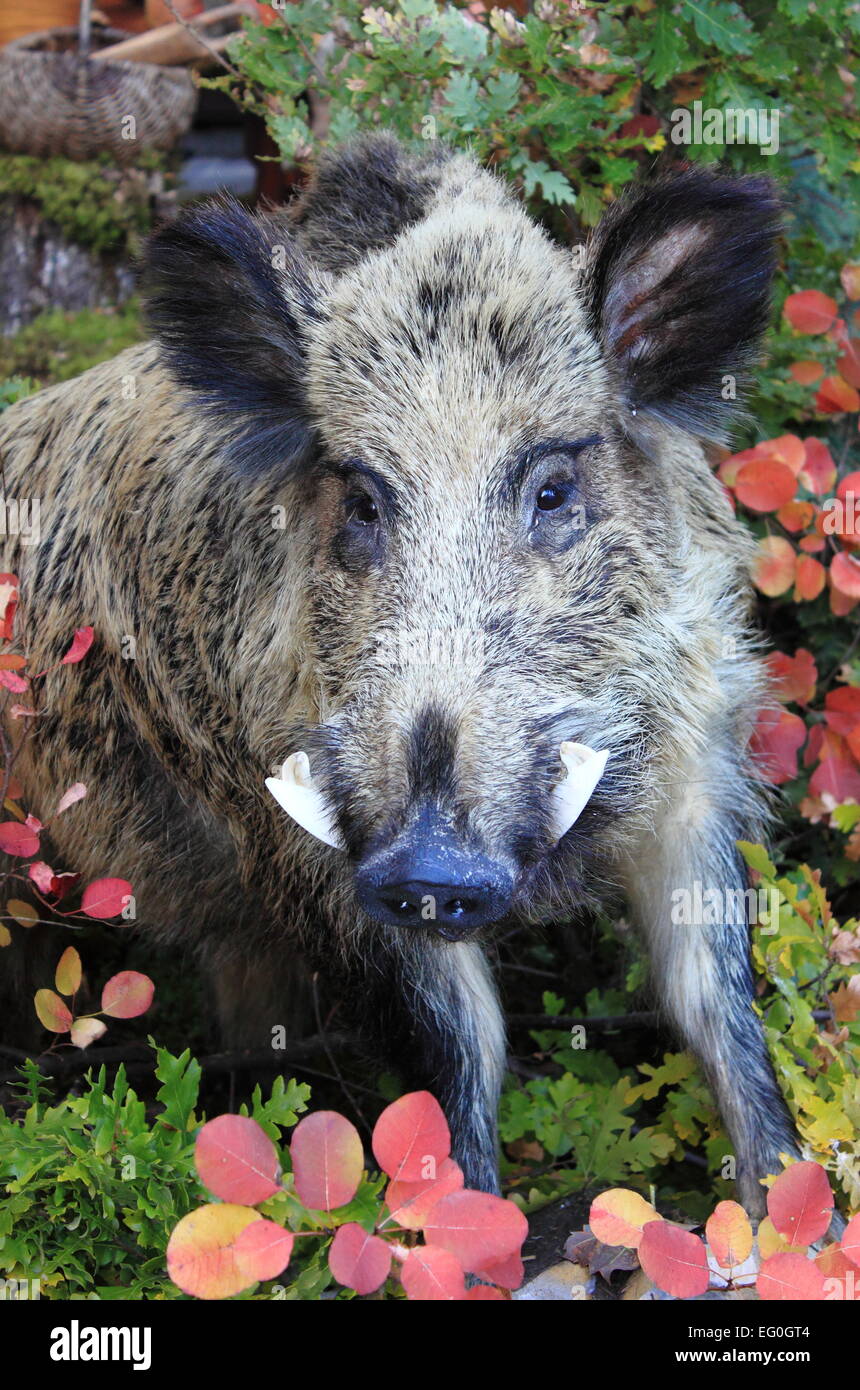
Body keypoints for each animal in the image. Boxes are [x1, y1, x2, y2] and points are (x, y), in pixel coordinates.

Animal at [0, 134, 801, 1212]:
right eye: (362, 502)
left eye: (553, 490)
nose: (431, 858)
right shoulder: (308, 844)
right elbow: (464, 1046)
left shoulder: (698, 768)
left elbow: (716, 1003)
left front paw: (793, 1216)